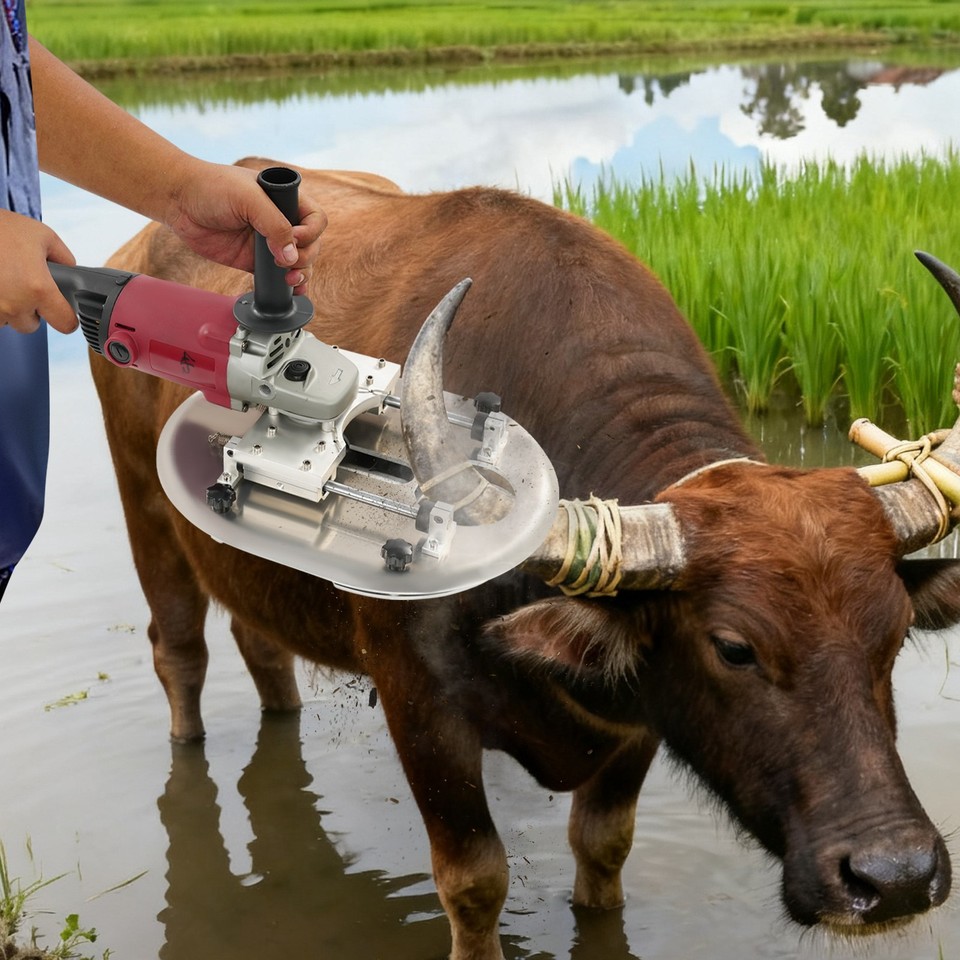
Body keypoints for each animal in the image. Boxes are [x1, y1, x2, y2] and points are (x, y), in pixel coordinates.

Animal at [89, 157, 960, 960]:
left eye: (892, 638)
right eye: (734, 648)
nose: (895, 877)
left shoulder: (634, 721)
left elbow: (604, 849)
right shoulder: (419, 708)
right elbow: (475, 881)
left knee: (261, 646)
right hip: (144, 508)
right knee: (179, 650)